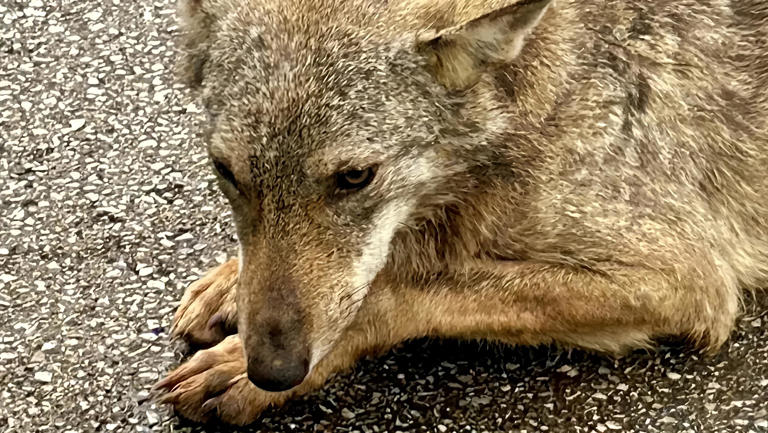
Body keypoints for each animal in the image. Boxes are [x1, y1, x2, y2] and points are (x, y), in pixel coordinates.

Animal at [154, 0, 768, 425]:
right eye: (227, 172)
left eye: (355, 177)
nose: (271, 371)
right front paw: (231, 284)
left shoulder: (684, 280)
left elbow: (402, 290)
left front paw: (240, 370)